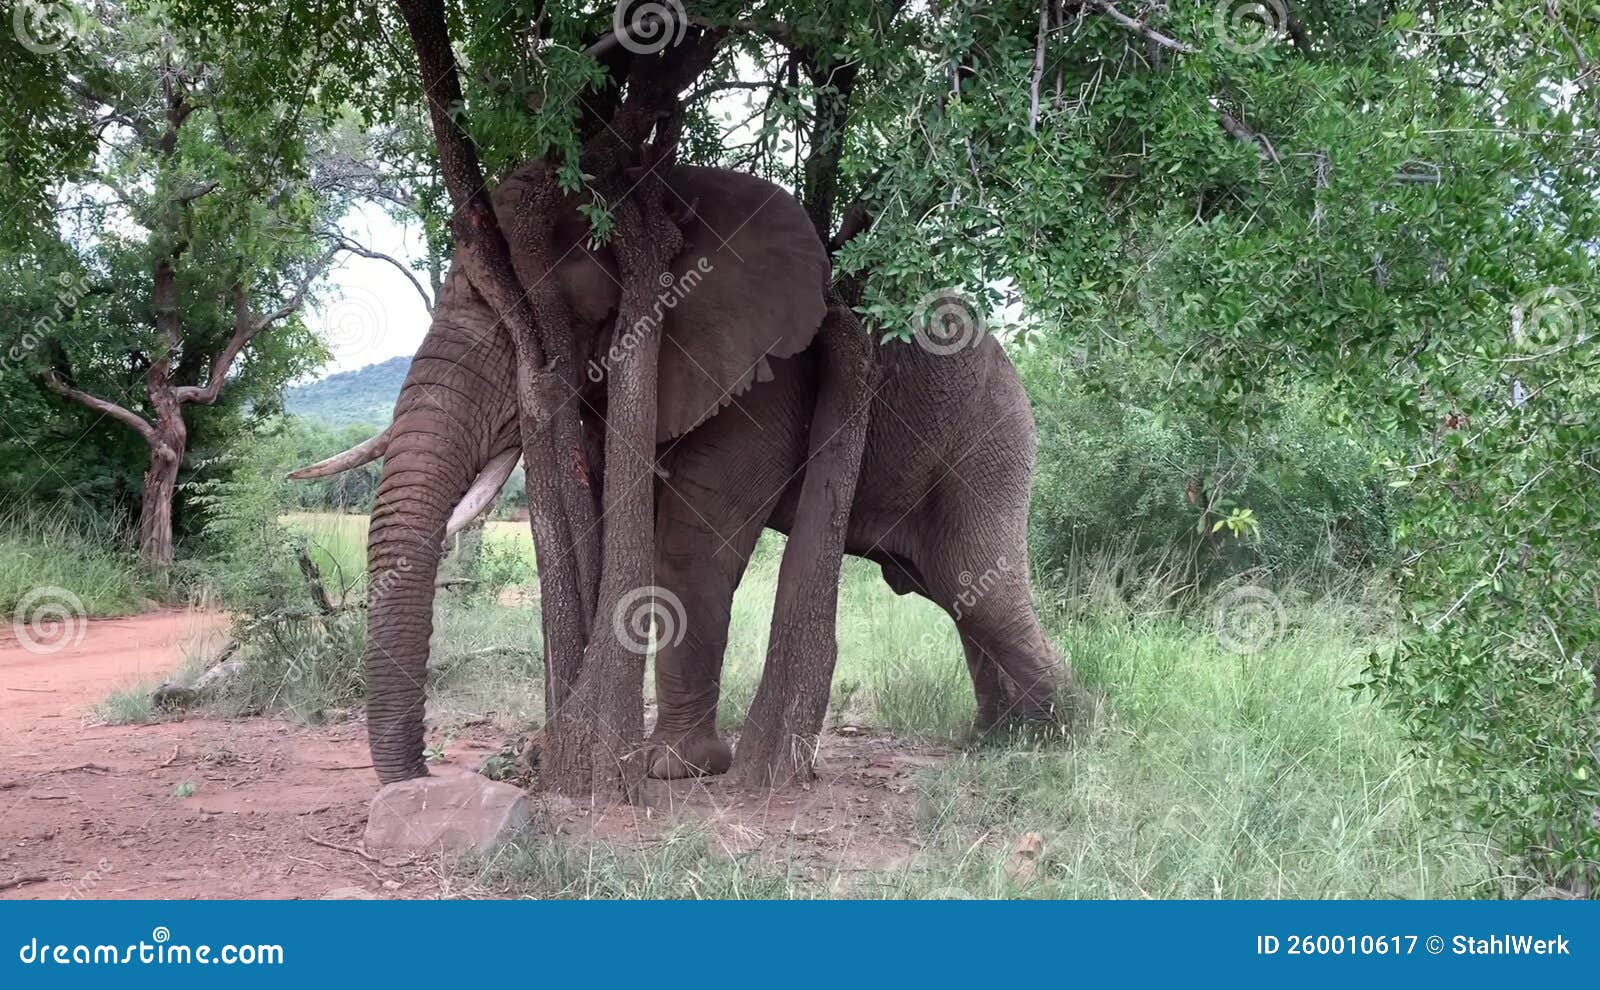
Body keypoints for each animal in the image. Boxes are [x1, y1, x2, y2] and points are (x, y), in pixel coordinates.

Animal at [294, 162, 1071, 785]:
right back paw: (996, 737)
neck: (669, 200)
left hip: (989, 442)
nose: (420, 776)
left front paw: (673, 768)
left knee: (983, 583)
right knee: (960, 594)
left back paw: (1059, 735)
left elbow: (691, 544)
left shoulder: (768, 374)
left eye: (544, 323)